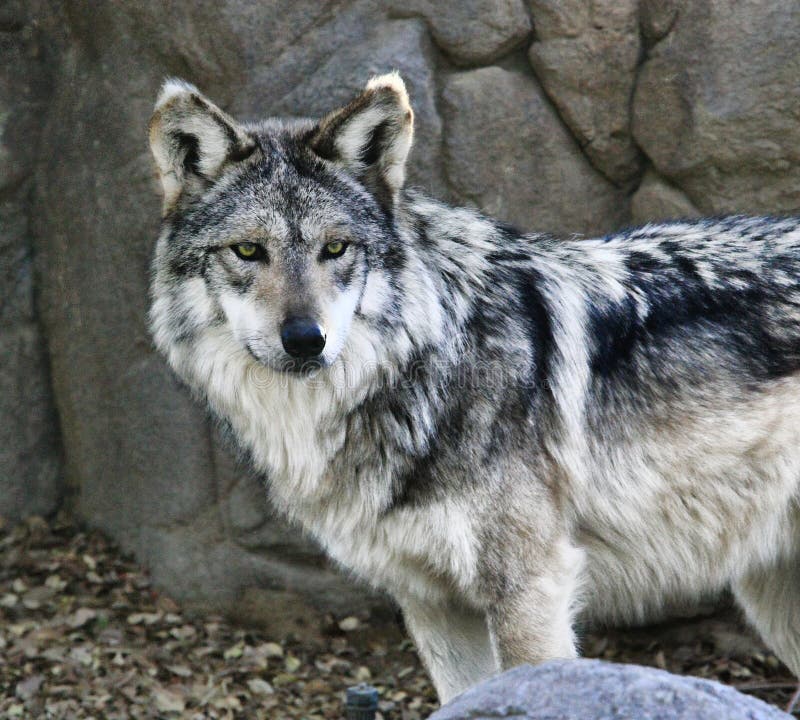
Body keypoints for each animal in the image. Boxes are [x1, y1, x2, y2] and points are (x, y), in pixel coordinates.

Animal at [148, 73, 800, 704]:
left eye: (335, 248)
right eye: (248, 250)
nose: (307, 340)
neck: (431, 363)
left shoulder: (530, 587)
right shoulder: (432, 602)